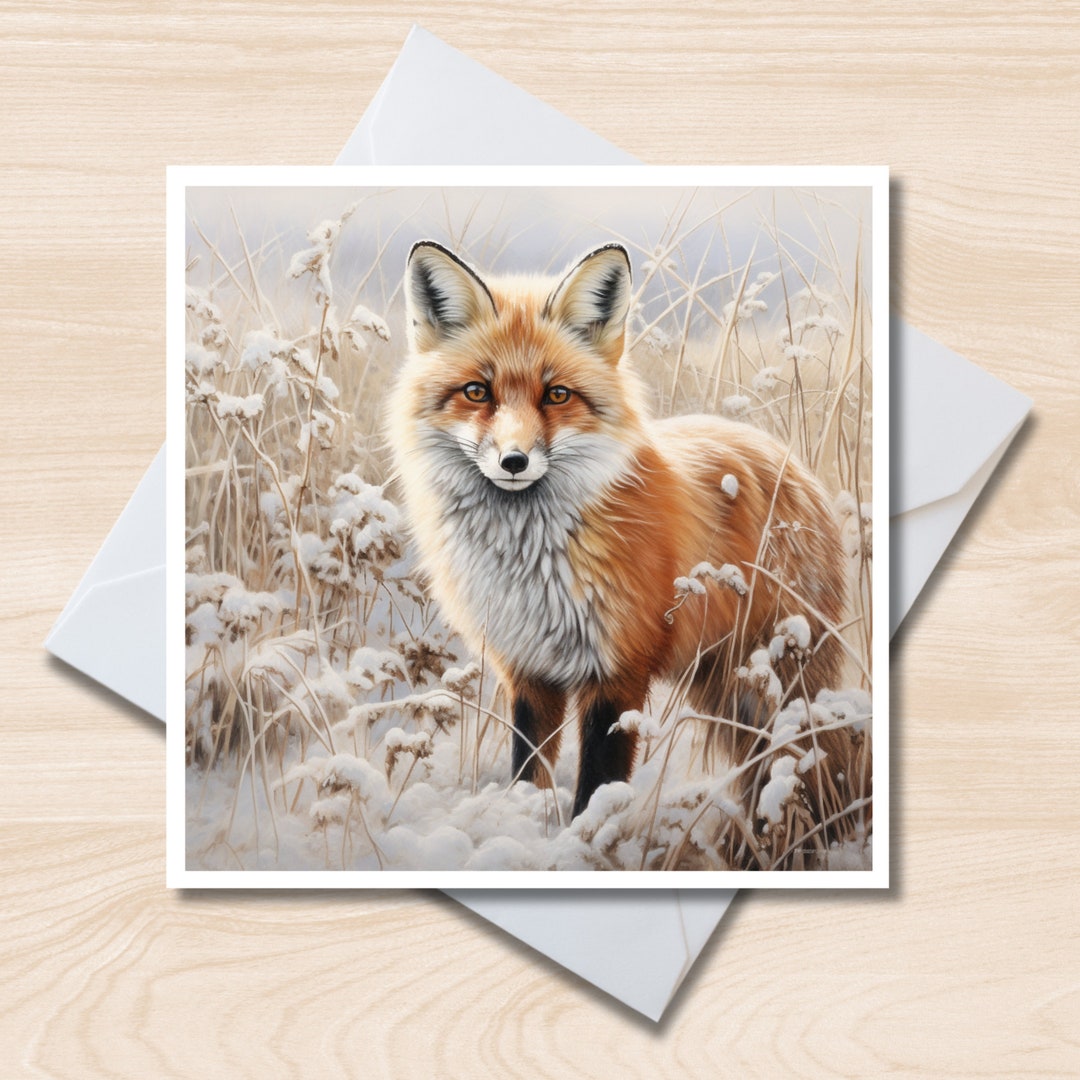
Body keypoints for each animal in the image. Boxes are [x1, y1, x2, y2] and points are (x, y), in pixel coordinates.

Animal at [388, 240, 850, 822]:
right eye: (477, 391)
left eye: (556, 395)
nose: (514, 461)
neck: (528, 565)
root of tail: (783, 454)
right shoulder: (527, 668)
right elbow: (528, 766)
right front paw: (523, 815)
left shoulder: (618, 668)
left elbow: (598, 785)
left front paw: (584, 835)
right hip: (726, 686)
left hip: (780, 682)